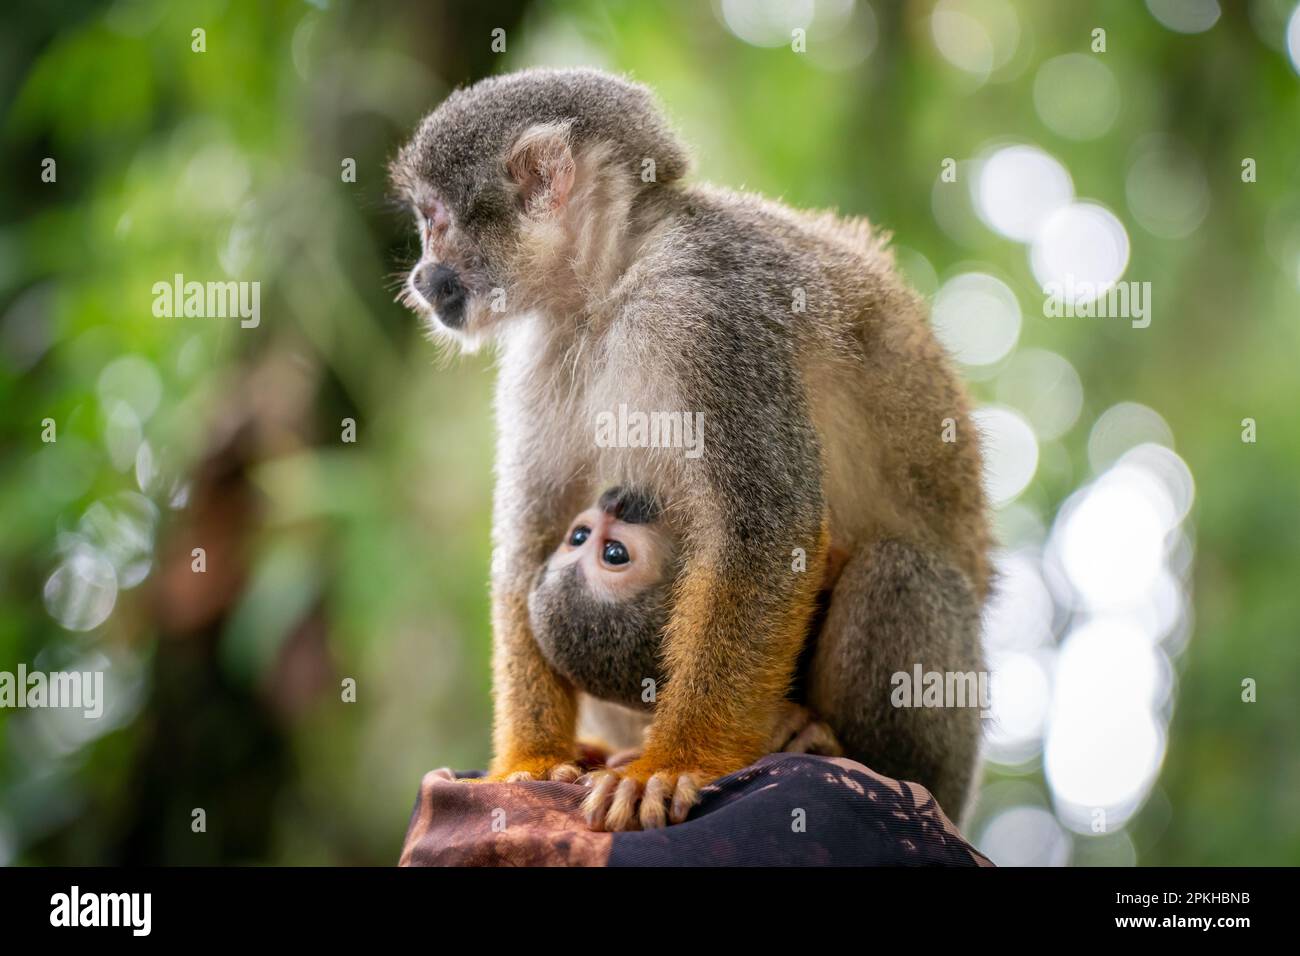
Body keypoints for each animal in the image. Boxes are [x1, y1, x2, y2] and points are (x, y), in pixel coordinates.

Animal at [392, 68, 992, 832]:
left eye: (433, 221)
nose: (420, 276)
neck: (613, 282)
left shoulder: (706, 309)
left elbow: (770, 530)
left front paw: (674, 763)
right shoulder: (546, 344)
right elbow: (531, 541)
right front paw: (531, 759)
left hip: (951, 757)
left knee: (900, 572)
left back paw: (846, 750)